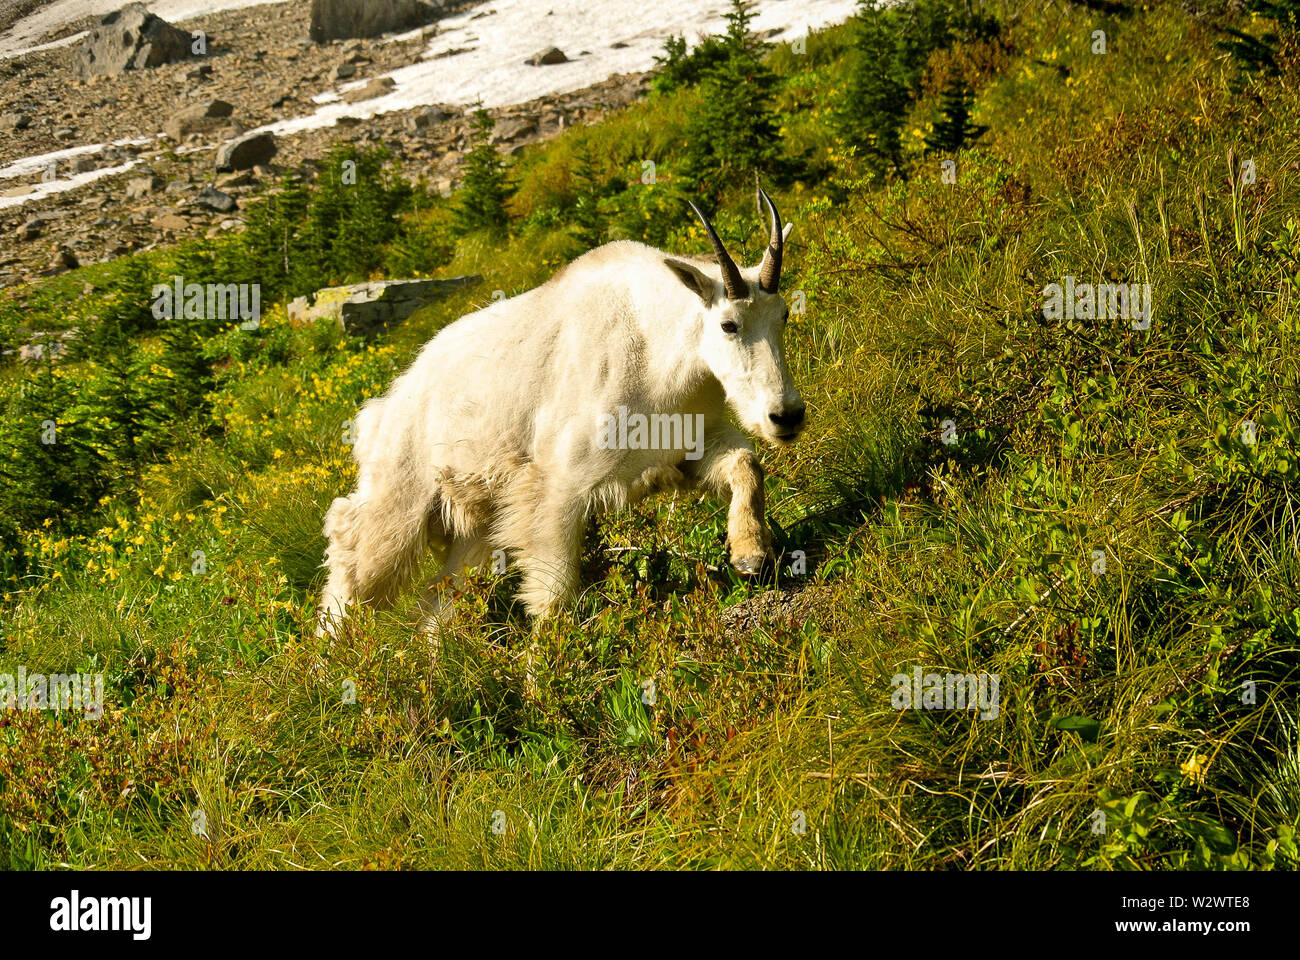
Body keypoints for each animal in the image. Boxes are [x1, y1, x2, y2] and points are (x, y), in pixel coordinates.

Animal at [317, 189, 805, 635]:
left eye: (783, 315)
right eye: (728, 324)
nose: (786, 416)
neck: (657, 347)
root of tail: (382, 408)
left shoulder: (685, 447)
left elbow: (747, 464)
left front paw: (750, 555)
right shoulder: (558, 486)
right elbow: (553, 593)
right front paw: (548, 666)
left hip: (474, 524)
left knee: (438, 601)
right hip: (400, 497)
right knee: (353, 549)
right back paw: (331, 654)